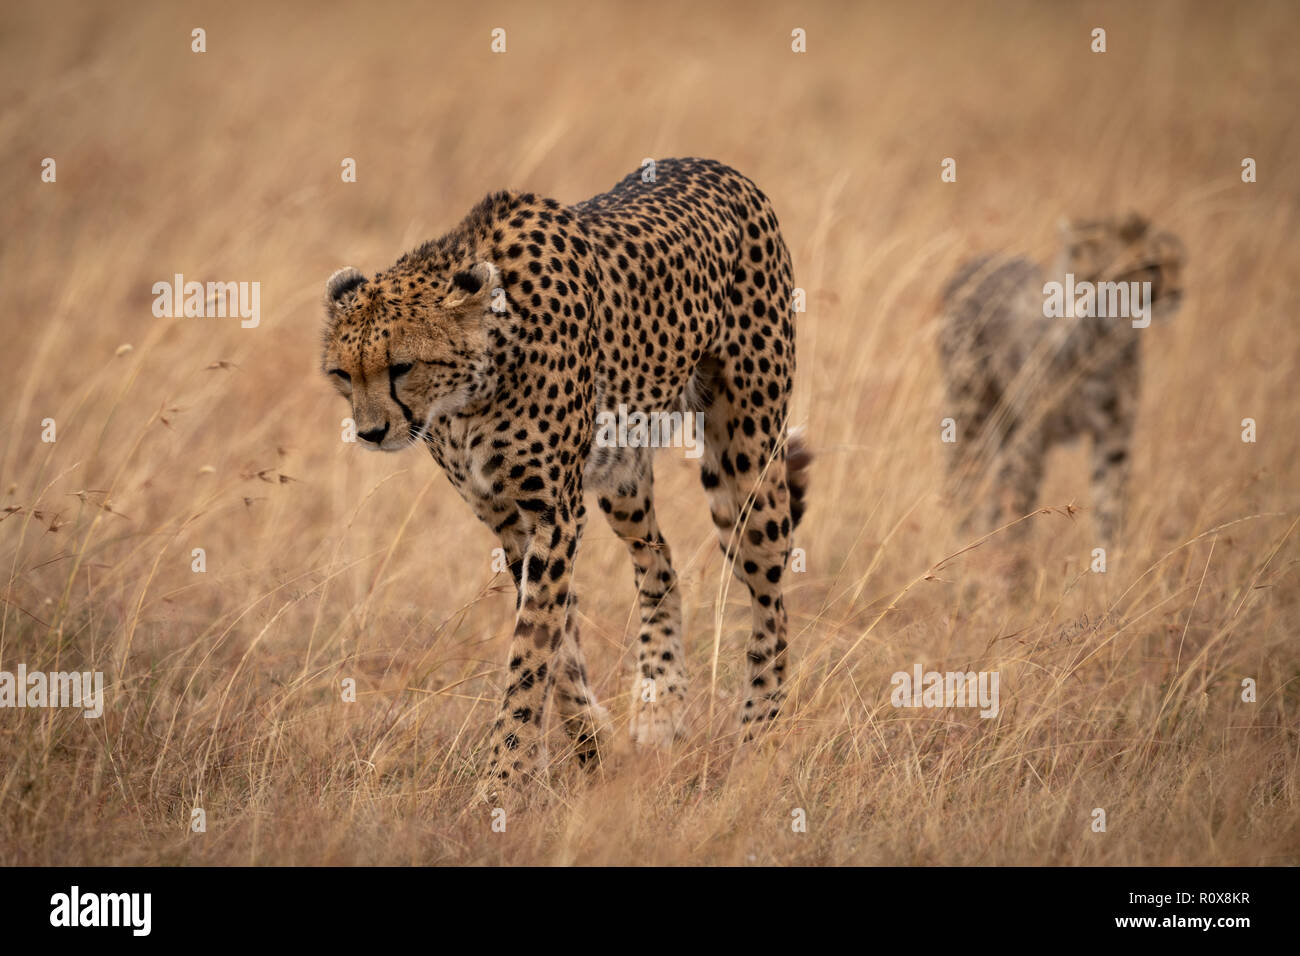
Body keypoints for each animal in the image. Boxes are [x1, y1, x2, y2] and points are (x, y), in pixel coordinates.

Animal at [320, 158, 809, 798]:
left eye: (401, 366)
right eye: (341, 373)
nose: (371, 432)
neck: (475, 383)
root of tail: (716, 166)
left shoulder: (553, 513)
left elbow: (533, 648)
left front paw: (502, 781)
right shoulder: (511, 519)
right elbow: (558, 643)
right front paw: (592, 744)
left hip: (747, 461)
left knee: (771, 599)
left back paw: (759, 738)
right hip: (623, 479)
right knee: (660, 563)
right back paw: (659, 710)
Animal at [938, 212, 1185, 551]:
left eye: (1180, 262)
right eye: (1150, 264)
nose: (1178, 293)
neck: (1101, 337)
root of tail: (977, 260)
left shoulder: (1114, 435)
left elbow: (1111, 508)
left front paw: (1112, 560)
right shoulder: (1032, 437)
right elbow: (1021, 508)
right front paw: (1014, 562)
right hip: (970, 414)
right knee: (962, 482)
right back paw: (962, 543)